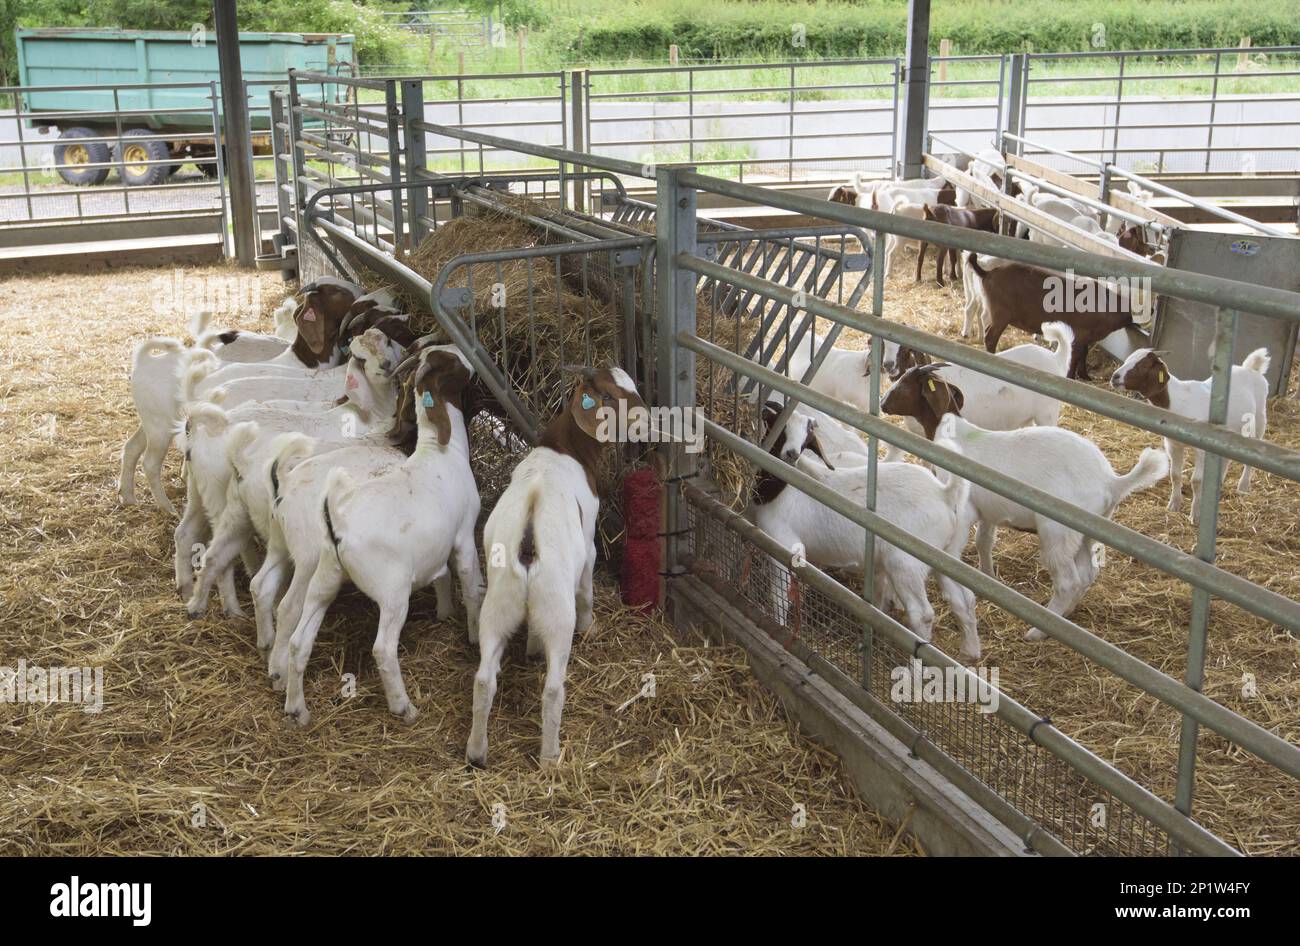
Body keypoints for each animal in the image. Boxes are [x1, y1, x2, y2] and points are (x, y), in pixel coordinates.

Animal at [466, 366, 648, 767]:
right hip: (556, 611)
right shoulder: (590, 541)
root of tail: (528, 540)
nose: (646, 418)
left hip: (498, 604)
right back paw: (550, 756)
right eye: (611, 396)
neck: (564, 449)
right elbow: (588, 588)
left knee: (484, 678)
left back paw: (476, 751)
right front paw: (591, 627)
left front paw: (532, 649)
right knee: (552, 688)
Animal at [1110, 347, 1270, 522]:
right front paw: (1174, 505)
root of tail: (1251, 368)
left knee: (1252, 455)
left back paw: (1243, 486)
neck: (1176, 400)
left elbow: (1196, 481)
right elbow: (1175, 475)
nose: (1114, 377)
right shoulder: (1173, 444)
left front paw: (1195, 514)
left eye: (1142, 365)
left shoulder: (1201, 448)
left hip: (1258, 422)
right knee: (1226, 458)